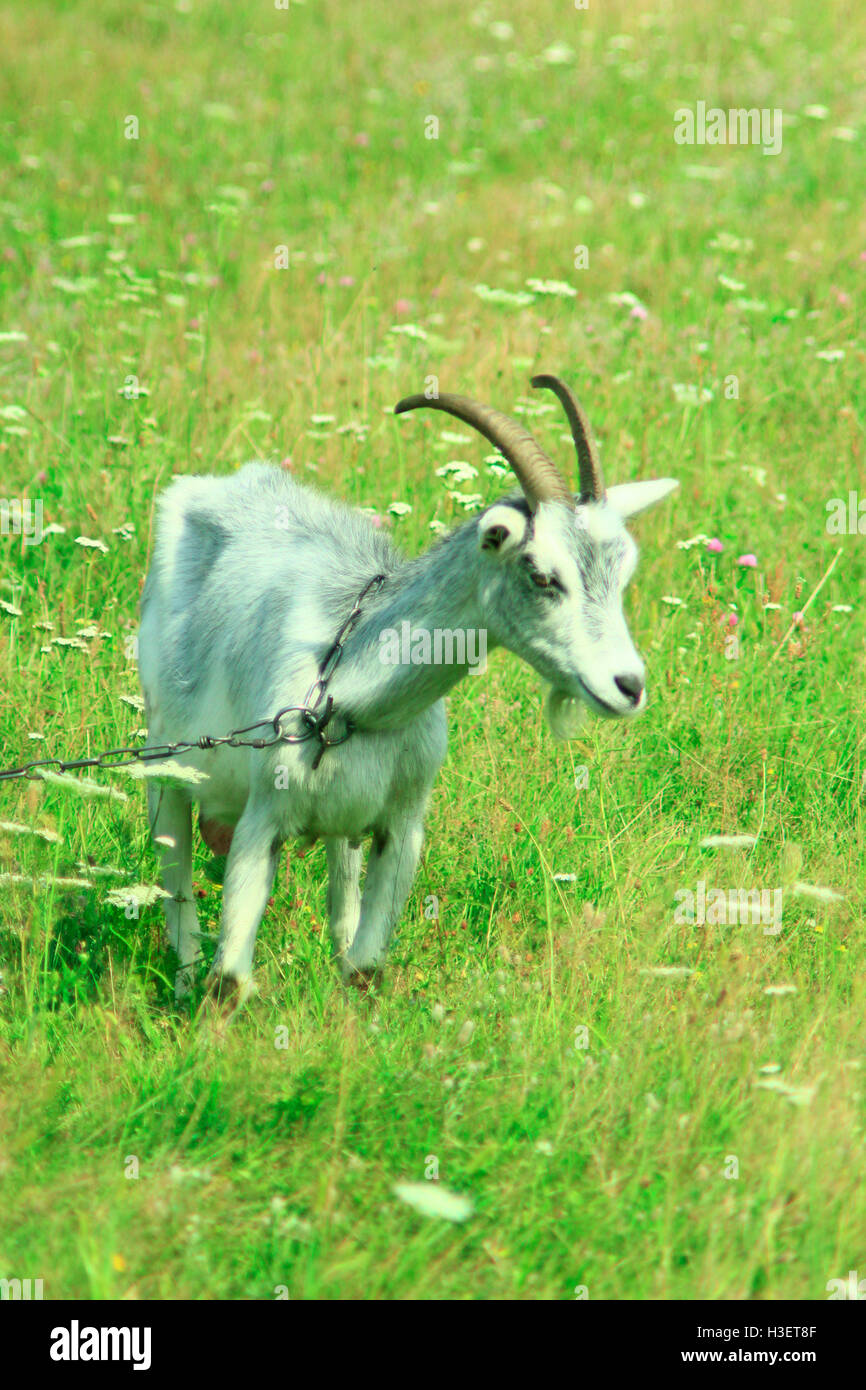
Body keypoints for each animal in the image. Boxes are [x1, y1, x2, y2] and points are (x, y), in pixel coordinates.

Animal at [137, 375, 678, 1005]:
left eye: (624, 573)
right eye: (542, 575)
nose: (629, 686)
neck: (350, 694)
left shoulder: (400, 829)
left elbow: (364, 970)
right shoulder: (262, 819)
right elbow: (228, 982)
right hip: (165, 765)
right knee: (178, 890)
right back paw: (180, 982)